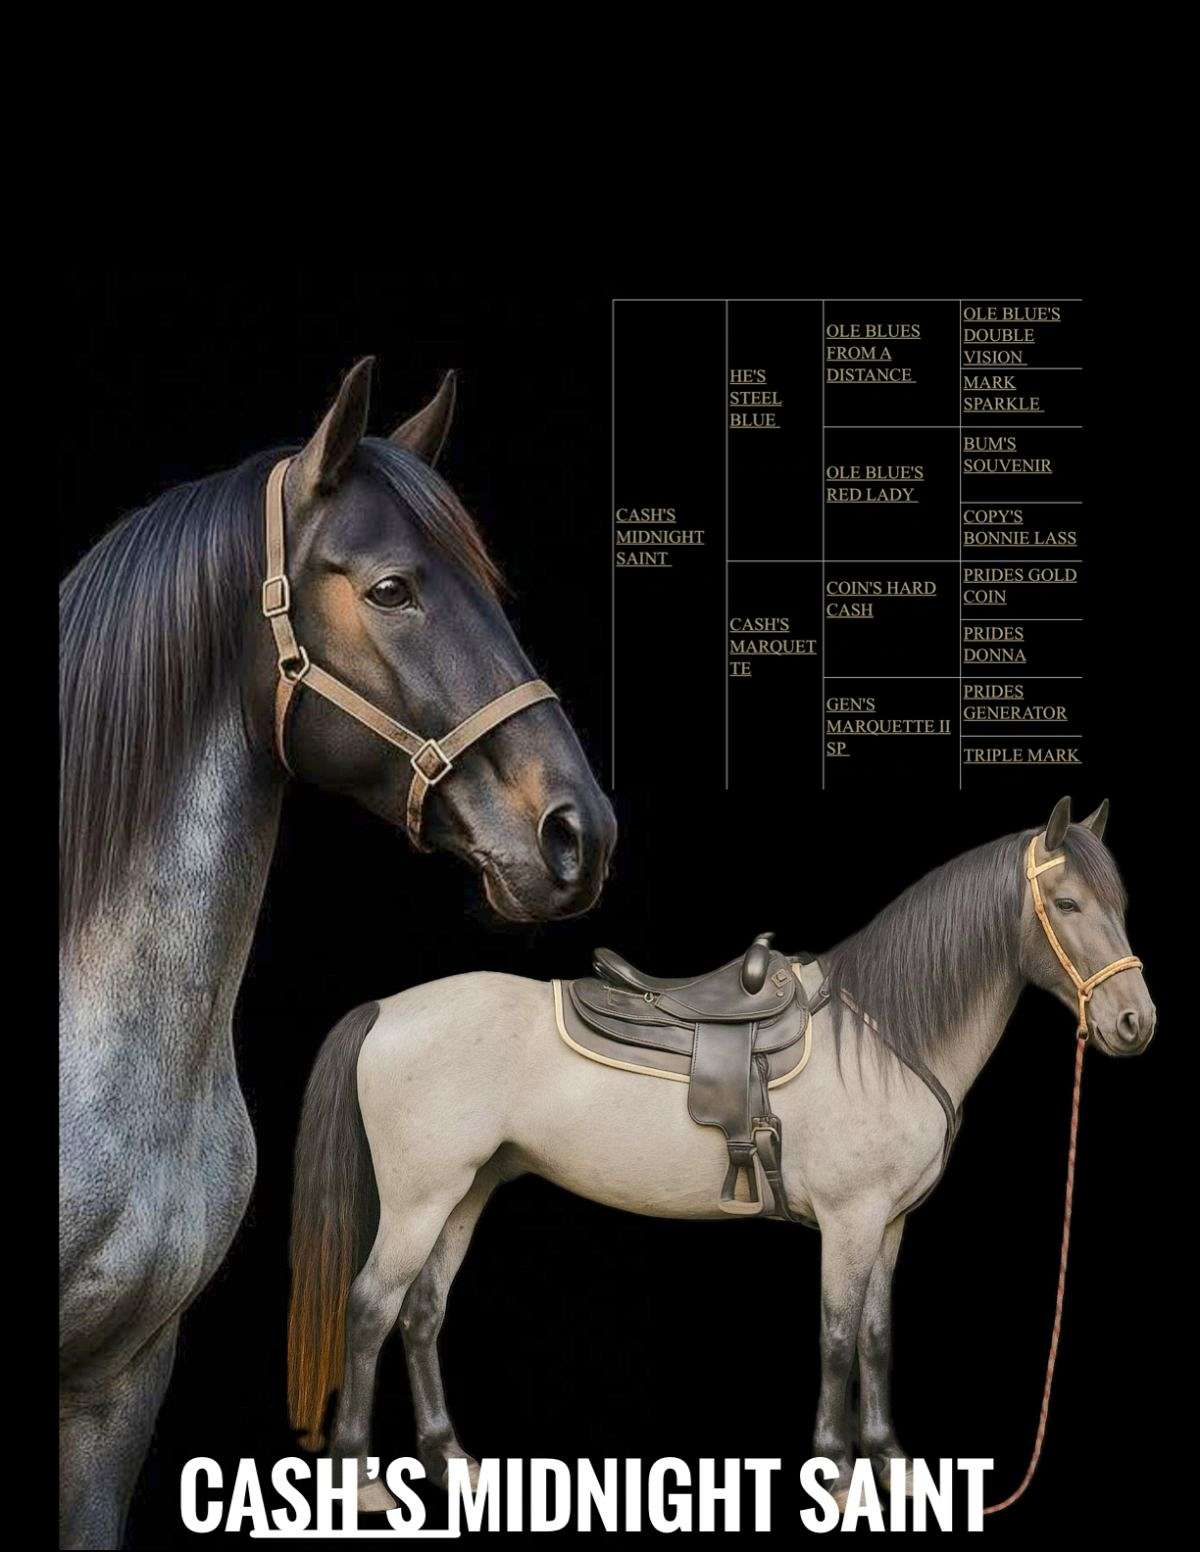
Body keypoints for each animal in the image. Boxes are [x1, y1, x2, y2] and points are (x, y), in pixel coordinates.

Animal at [287, 797, 1154, 1515]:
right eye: (1069, 904)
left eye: (1119, 903)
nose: (1134, 1022)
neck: (881, 1039)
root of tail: (387, 1010)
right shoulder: (850, 1222)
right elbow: (837, 1336)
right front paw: (837, 1476)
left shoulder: (889, 1225)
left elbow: (877, 1336)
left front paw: (893, 1466)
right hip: (418, 1201)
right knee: (370, 1309)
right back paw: (360, 1479)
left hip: (465, 1193)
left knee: (422, 1311)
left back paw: (448, 1459)